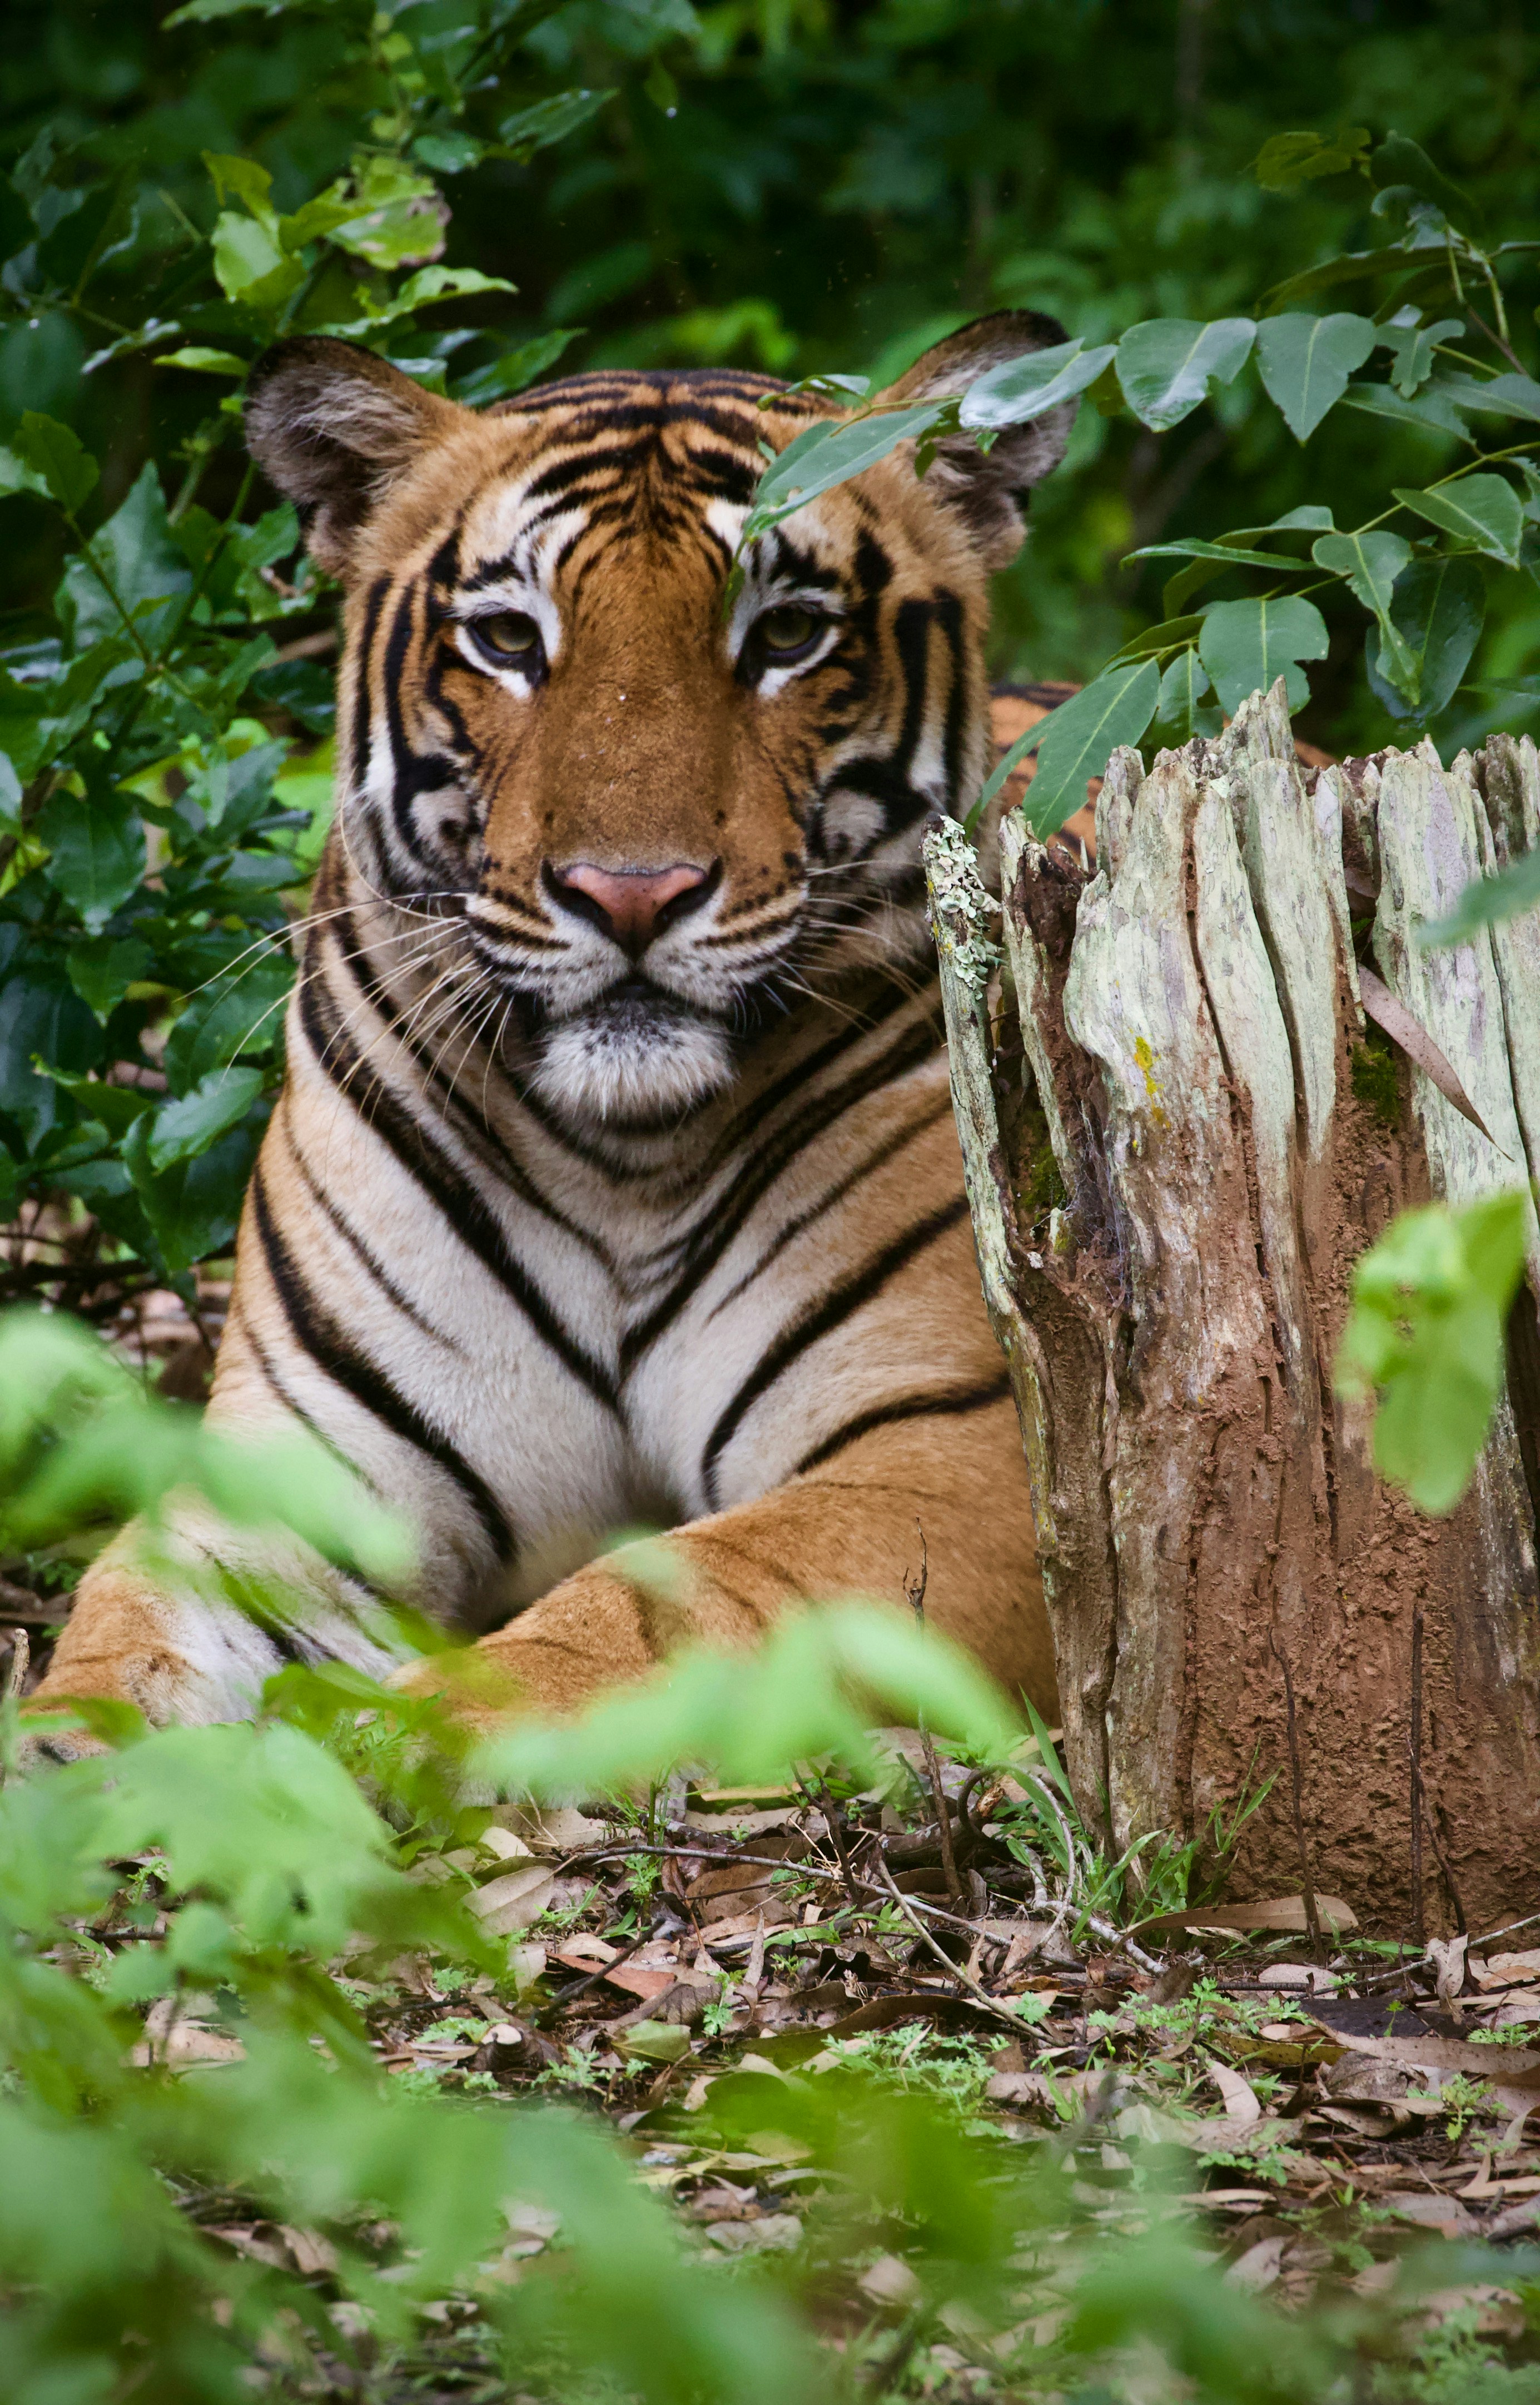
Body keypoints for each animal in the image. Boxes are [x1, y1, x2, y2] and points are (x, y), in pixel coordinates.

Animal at [32, 310, 1073, 1740]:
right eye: (510, 642)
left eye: (787, 634)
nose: (629, 893)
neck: (621, 1155)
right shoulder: (300, 1464)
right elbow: (119, 1637)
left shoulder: (956, 1457)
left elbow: (650, 1611)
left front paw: (395, 1754)